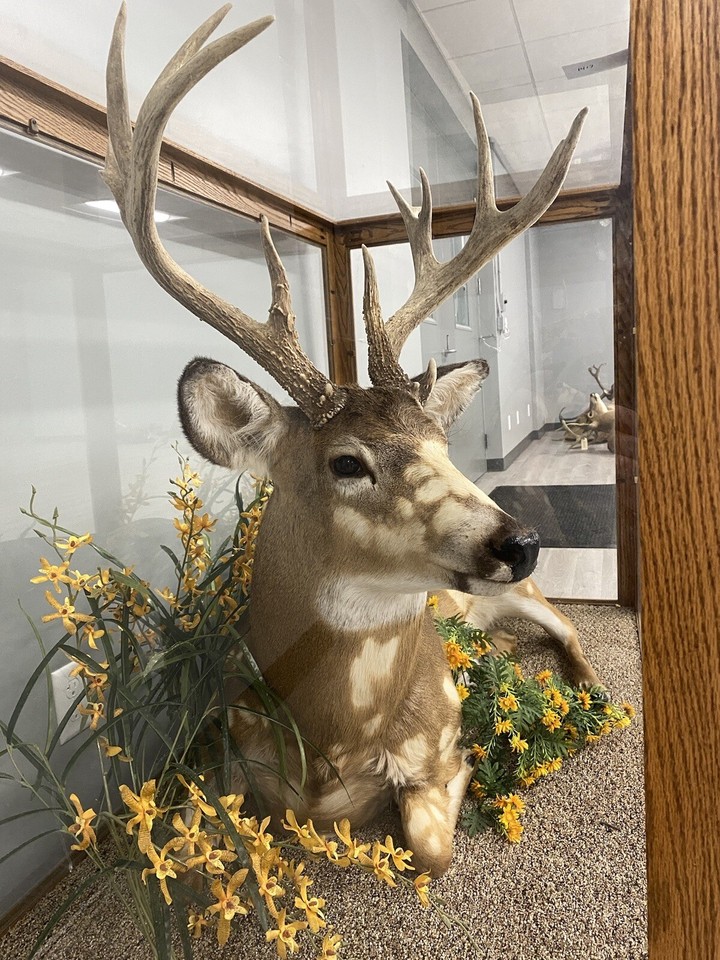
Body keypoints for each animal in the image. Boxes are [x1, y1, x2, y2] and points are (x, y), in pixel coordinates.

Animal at [102, 4, 601, 877]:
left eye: (441, 446)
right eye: (346, 462)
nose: (521, 539)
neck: (333, 738)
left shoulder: (435, 725)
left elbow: (429, 846)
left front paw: (480, 754)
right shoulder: (231, 755)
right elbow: (220, 840)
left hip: (529, 599)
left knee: (569, 626)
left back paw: (582, 692)